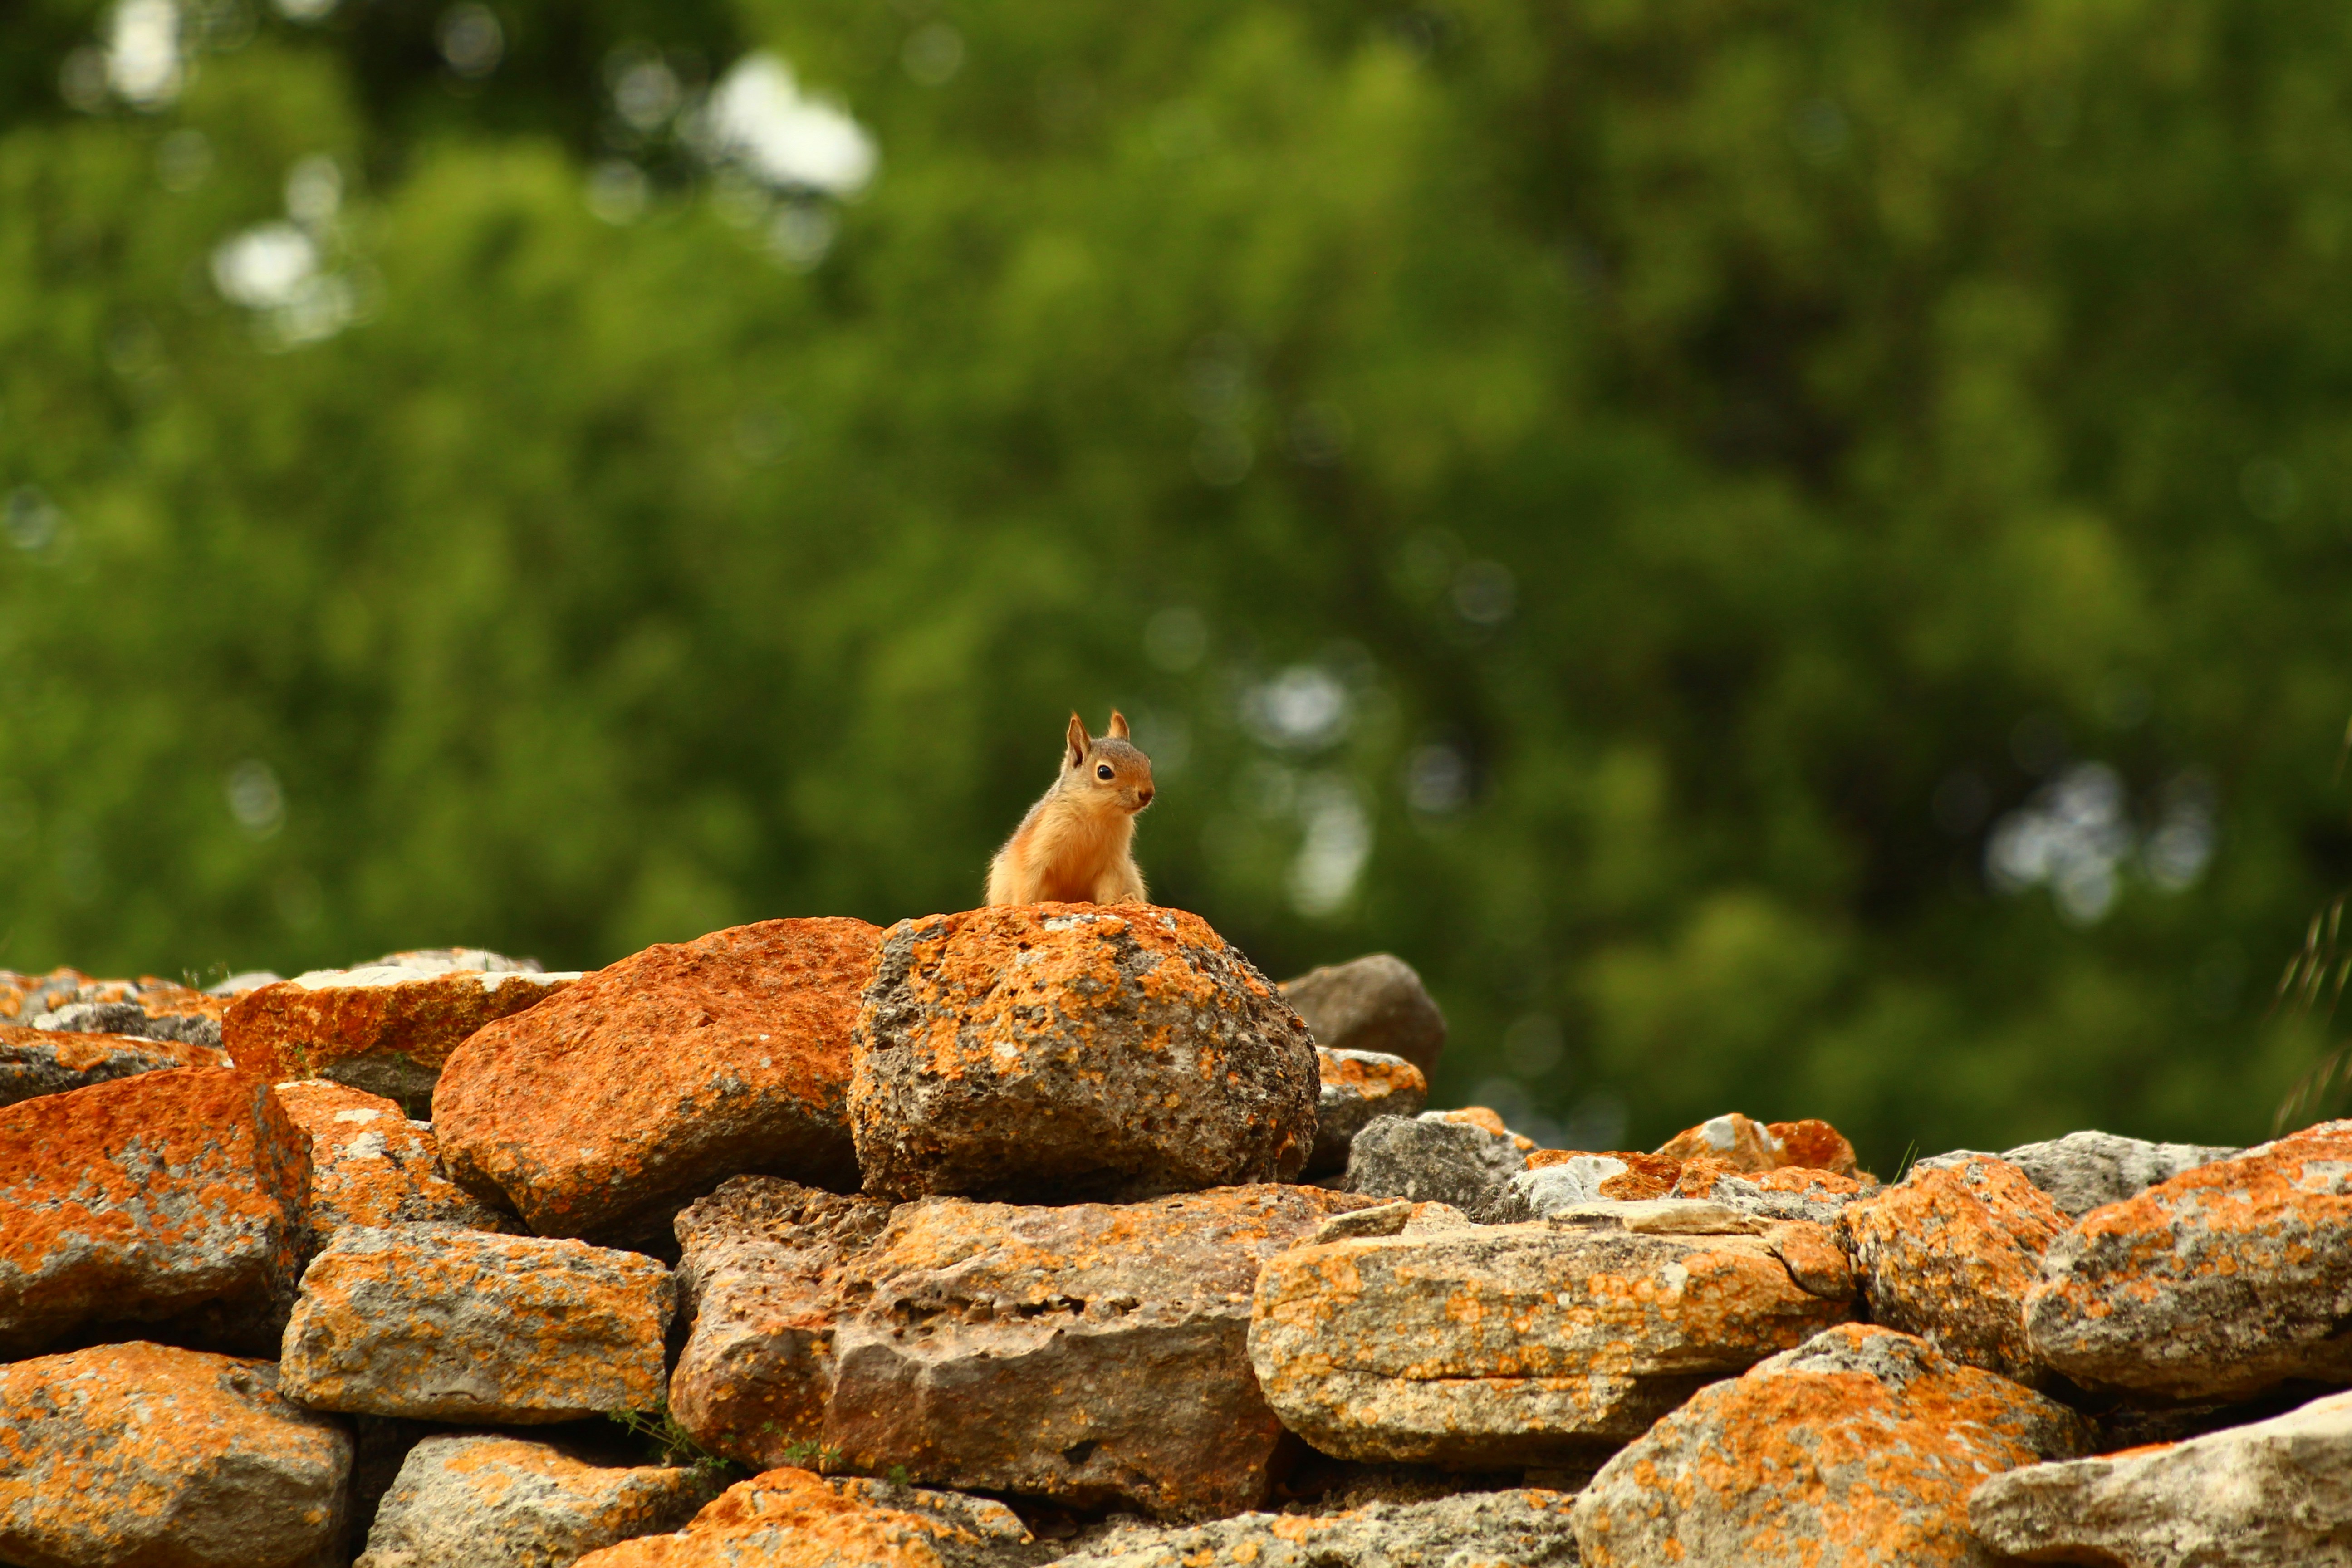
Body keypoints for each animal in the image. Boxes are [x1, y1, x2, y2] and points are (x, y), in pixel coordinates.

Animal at [986, 710, 1156, 906]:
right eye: (1104, 772)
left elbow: (1109, 885)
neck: (1096, 815)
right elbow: (1028, 880)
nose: (1147, 793)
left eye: (1147, 762)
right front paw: (1025, 904)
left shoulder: (1114, 861)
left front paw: (1115, 902)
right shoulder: (1035, 850)